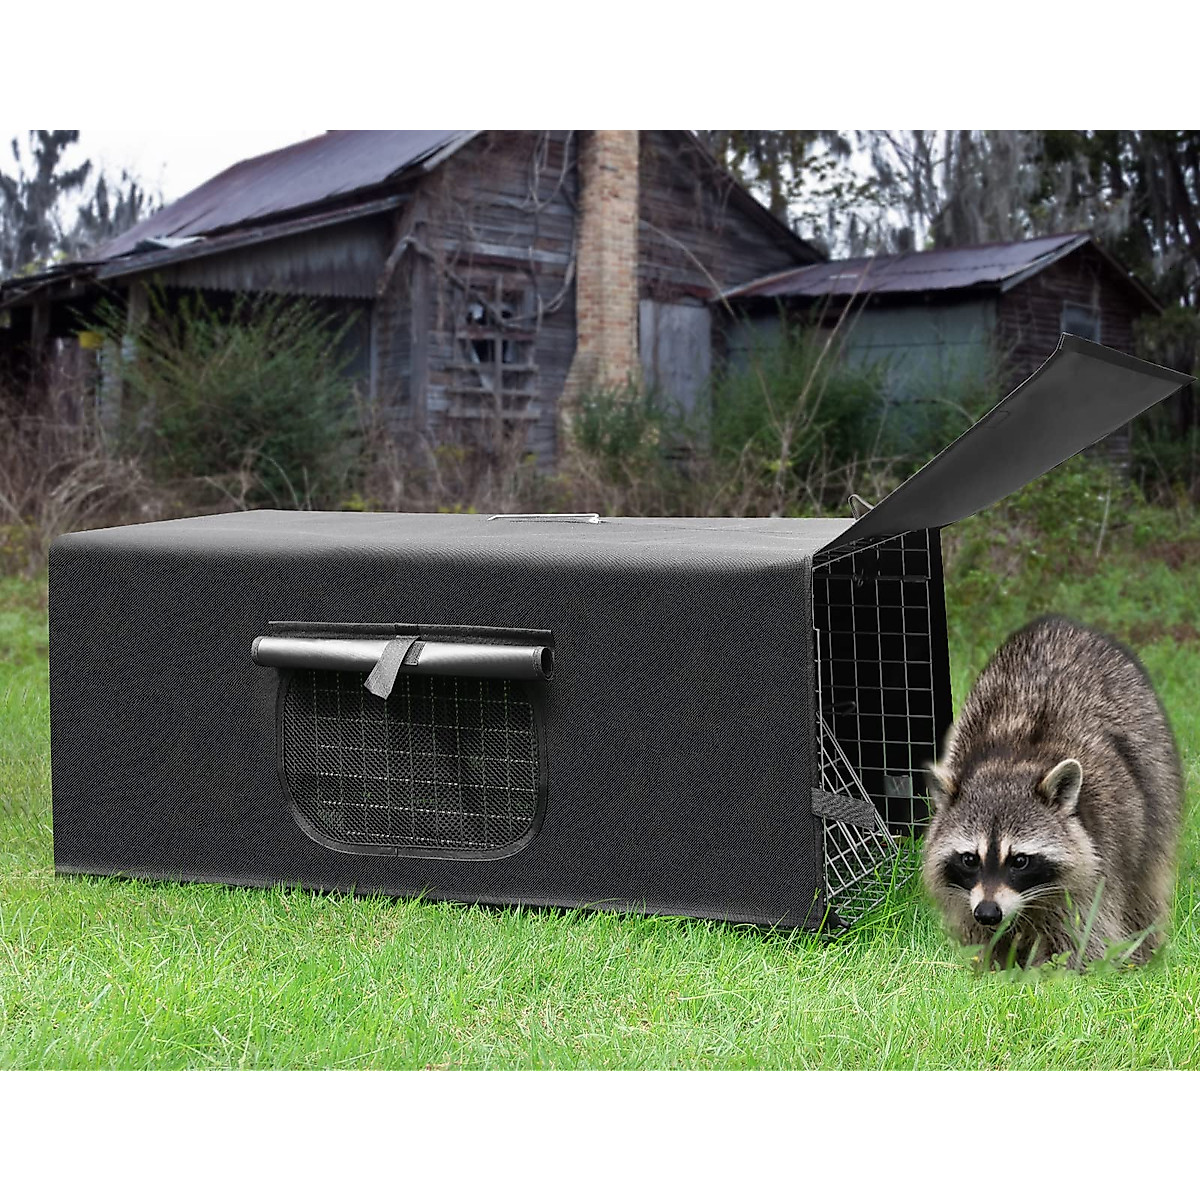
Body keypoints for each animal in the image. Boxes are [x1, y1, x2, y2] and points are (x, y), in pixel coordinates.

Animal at [922, 616, 1183, 967]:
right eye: (969, 859)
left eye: (1020, 860)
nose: (989, 913)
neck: (1013, 763)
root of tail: (1062, 623)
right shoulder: (964, 896)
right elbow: (978, 940)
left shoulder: (1100, 857)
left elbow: (1083, 941)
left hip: (1155, 783)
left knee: (1145, 888)